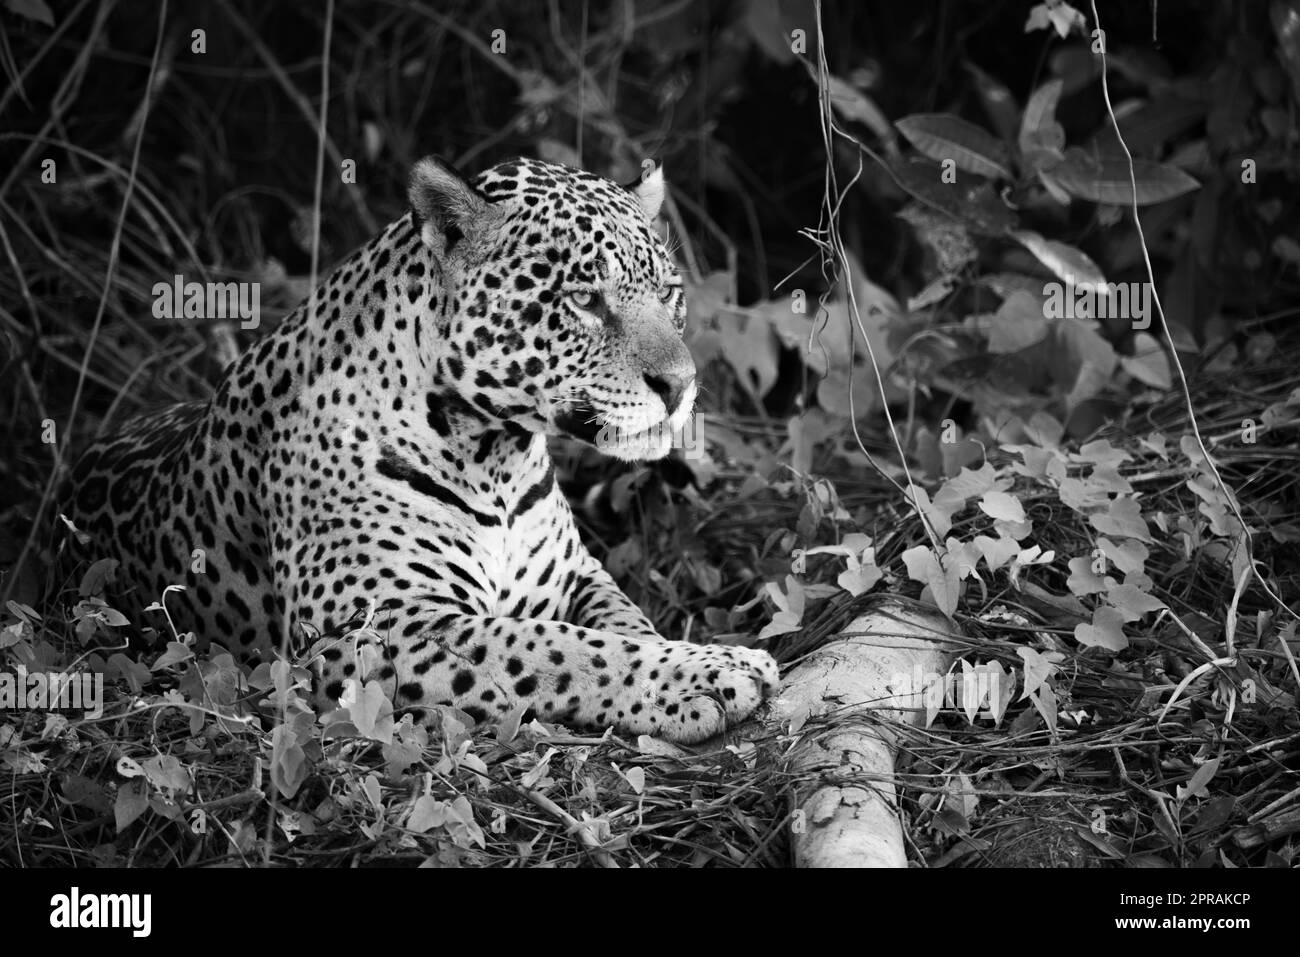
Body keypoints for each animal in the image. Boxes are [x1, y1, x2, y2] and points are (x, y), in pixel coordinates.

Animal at [64, 155, 779, 743]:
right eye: (583, 299)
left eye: (670, 294)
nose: (681, 385)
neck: (497, 456)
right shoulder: (371, 629)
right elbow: (559, 648)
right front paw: (715, 670)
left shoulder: (578, 573)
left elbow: (619, 624)